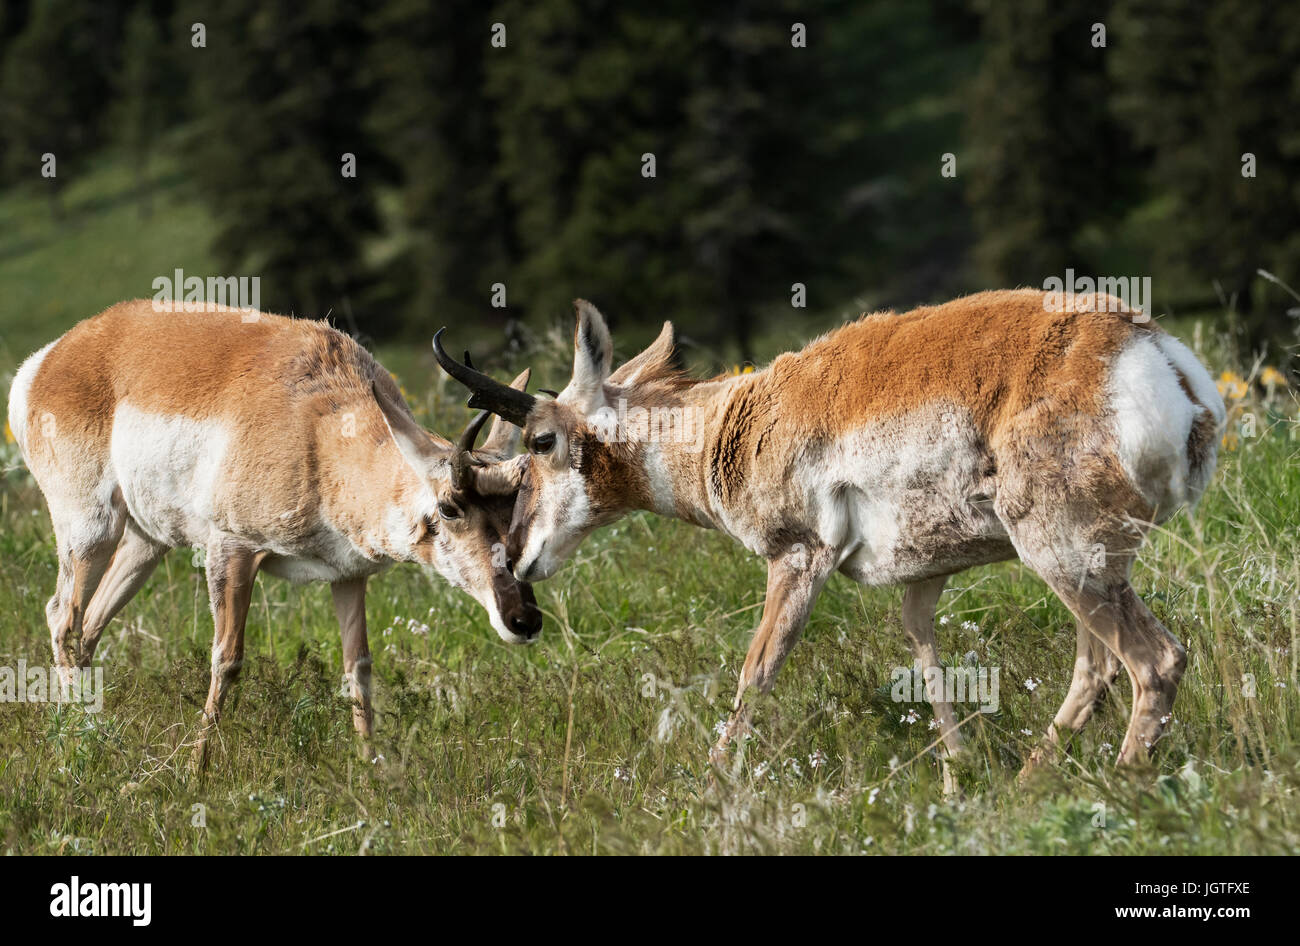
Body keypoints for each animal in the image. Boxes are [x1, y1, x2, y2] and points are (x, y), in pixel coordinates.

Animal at [7, 299, 542, 768]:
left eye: (516, 505)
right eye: (450, 507)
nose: (525, 620)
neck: (320, 432)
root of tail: (52, 356)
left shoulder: (348, 577)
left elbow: (358, 667)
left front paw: (371, 769)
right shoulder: (233, 550)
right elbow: (227, 658)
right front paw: (196, 770)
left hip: (145, 543)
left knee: (89, 627)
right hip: (91, 530)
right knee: (62, 617)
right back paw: (85, 741)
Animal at [436, 289, 1225, 780]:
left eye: (540, 440)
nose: (516, 558)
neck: (729, 422)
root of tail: (1154, 352)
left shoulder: (797, 560)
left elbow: (757, 672)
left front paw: (711, 784)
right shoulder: (922, 579)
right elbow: (927, 658)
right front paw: (959, 774)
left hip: (1065, 559)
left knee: (1154, 661)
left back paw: (1121, 785)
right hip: (1079, 566)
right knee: (1097, 668)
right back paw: (1034, 781)